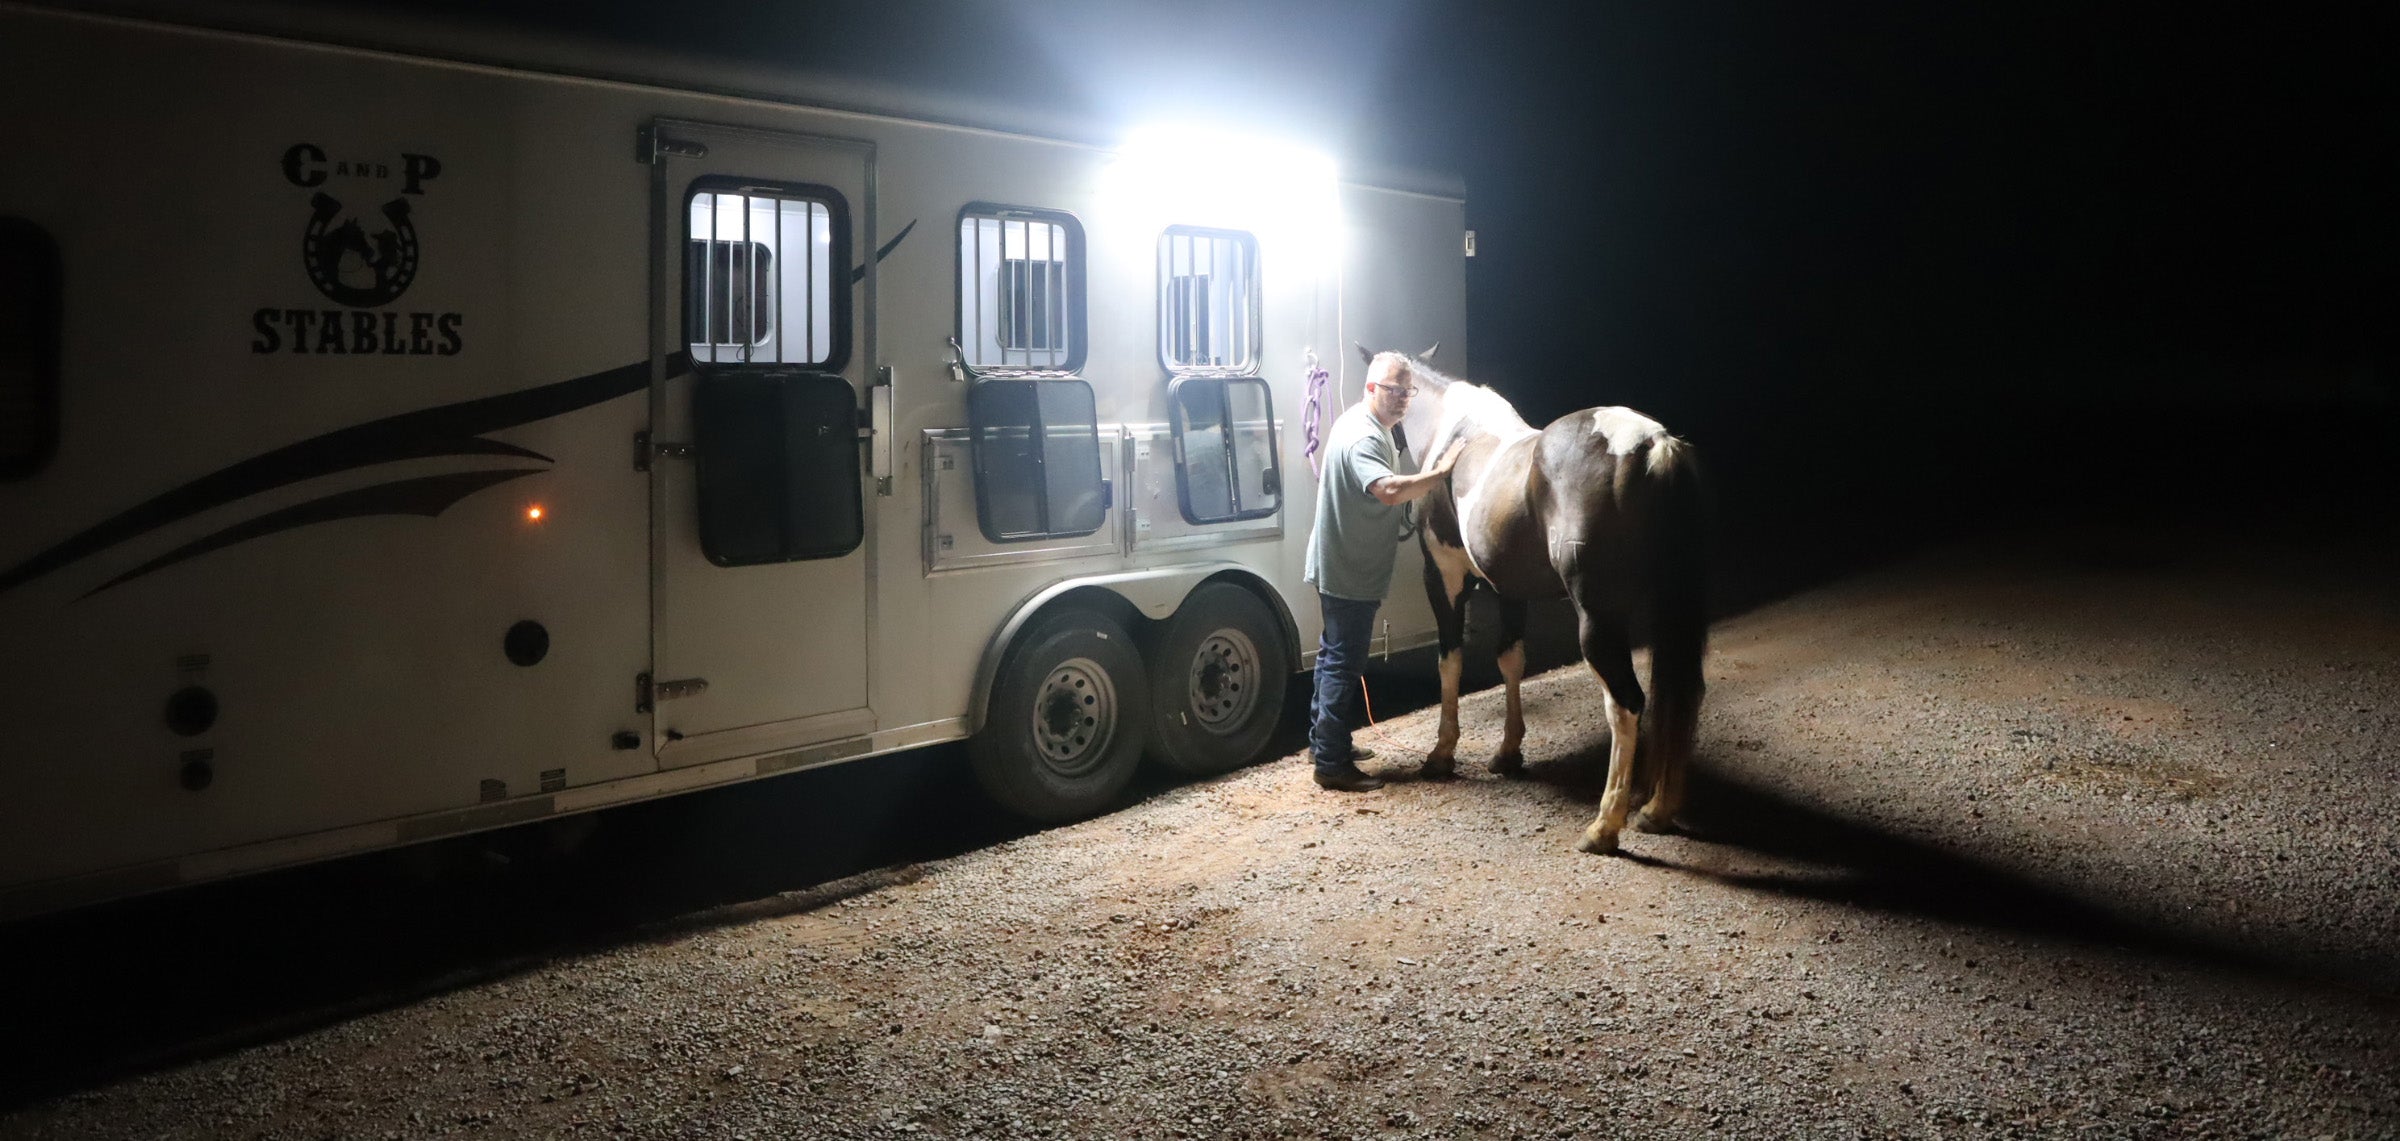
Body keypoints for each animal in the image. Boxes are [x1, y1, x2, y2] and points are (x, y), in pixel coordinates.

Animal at [1360, 345, 1708, 855]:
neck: (1459, 432)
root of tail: (1654, 446)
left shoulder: (1444, 576)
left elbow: (1450, 661)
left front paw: (1442, 753)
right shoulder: (1510, 587)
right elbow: (1511, 660)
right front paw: (1508, 753)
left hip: (1598, 621)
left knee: (1626, 704)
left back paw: (1604, 827)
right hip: (1672, 609)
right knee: (1682, 692)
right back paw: (1657, 810)